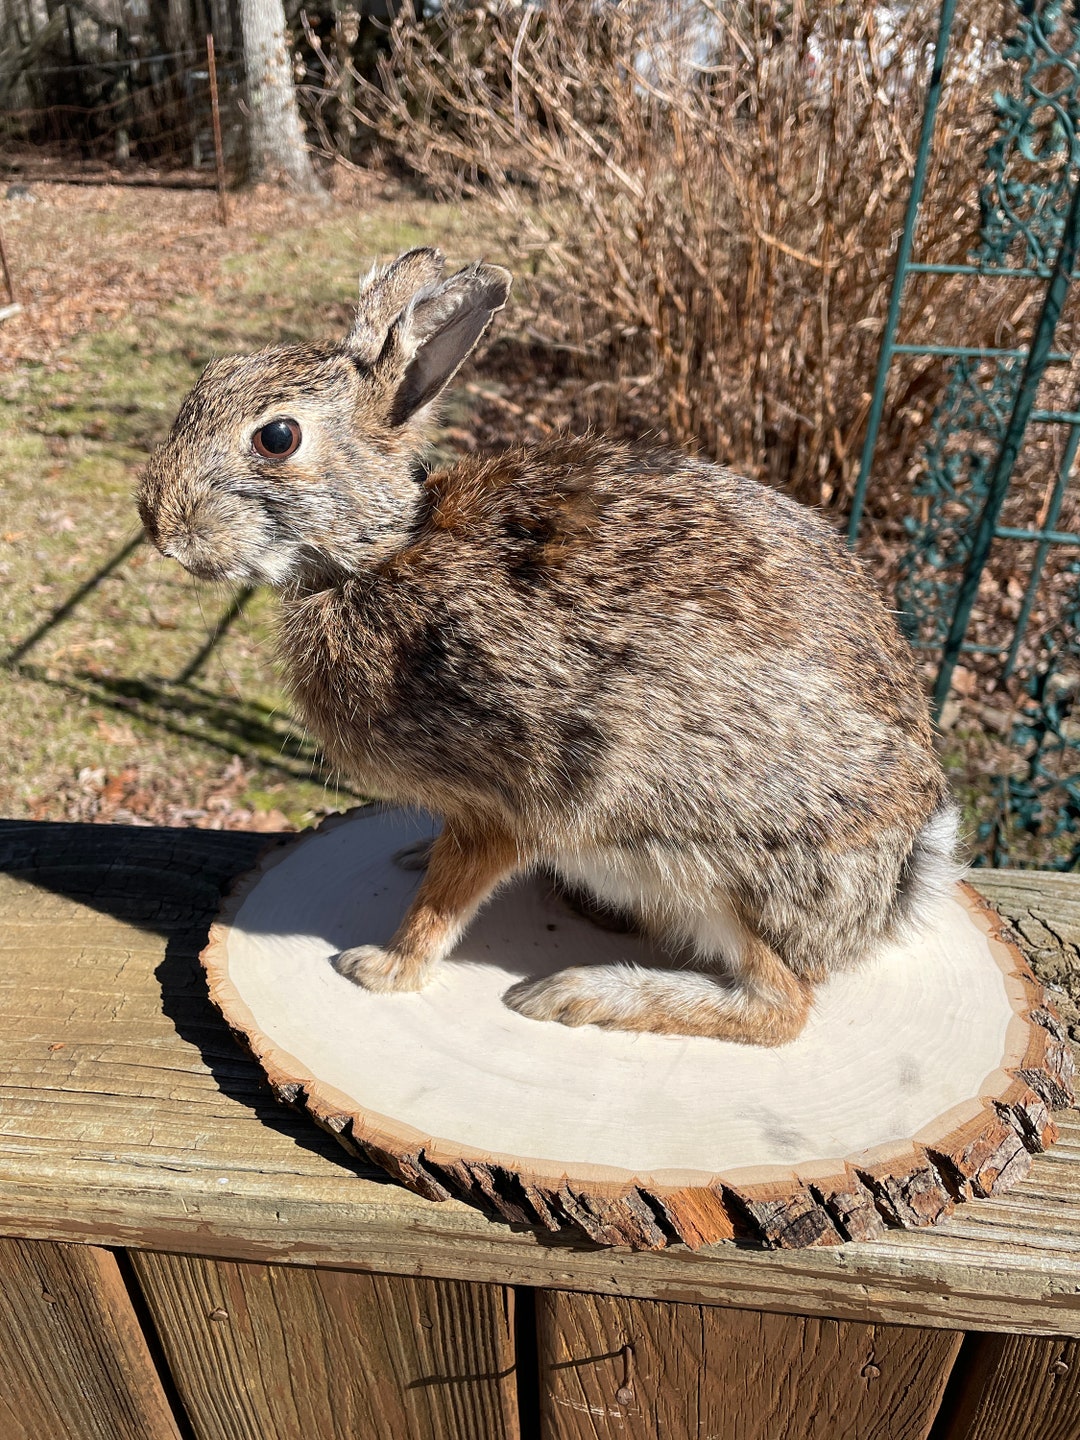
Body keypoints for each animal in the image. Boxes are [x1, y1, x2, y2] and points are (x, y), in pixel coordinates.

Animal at [138, 246, 959, 1047]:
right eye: (212, 377)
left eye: (277, 437)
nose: (159, 526)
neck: (380, 554)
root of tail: (895, 883)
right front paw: (410, 857)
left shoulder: (506, 798)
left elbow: (447, 897)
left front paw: (382, 968)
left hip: (711, 860)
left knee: (780, 1006)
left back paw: (580, 994)